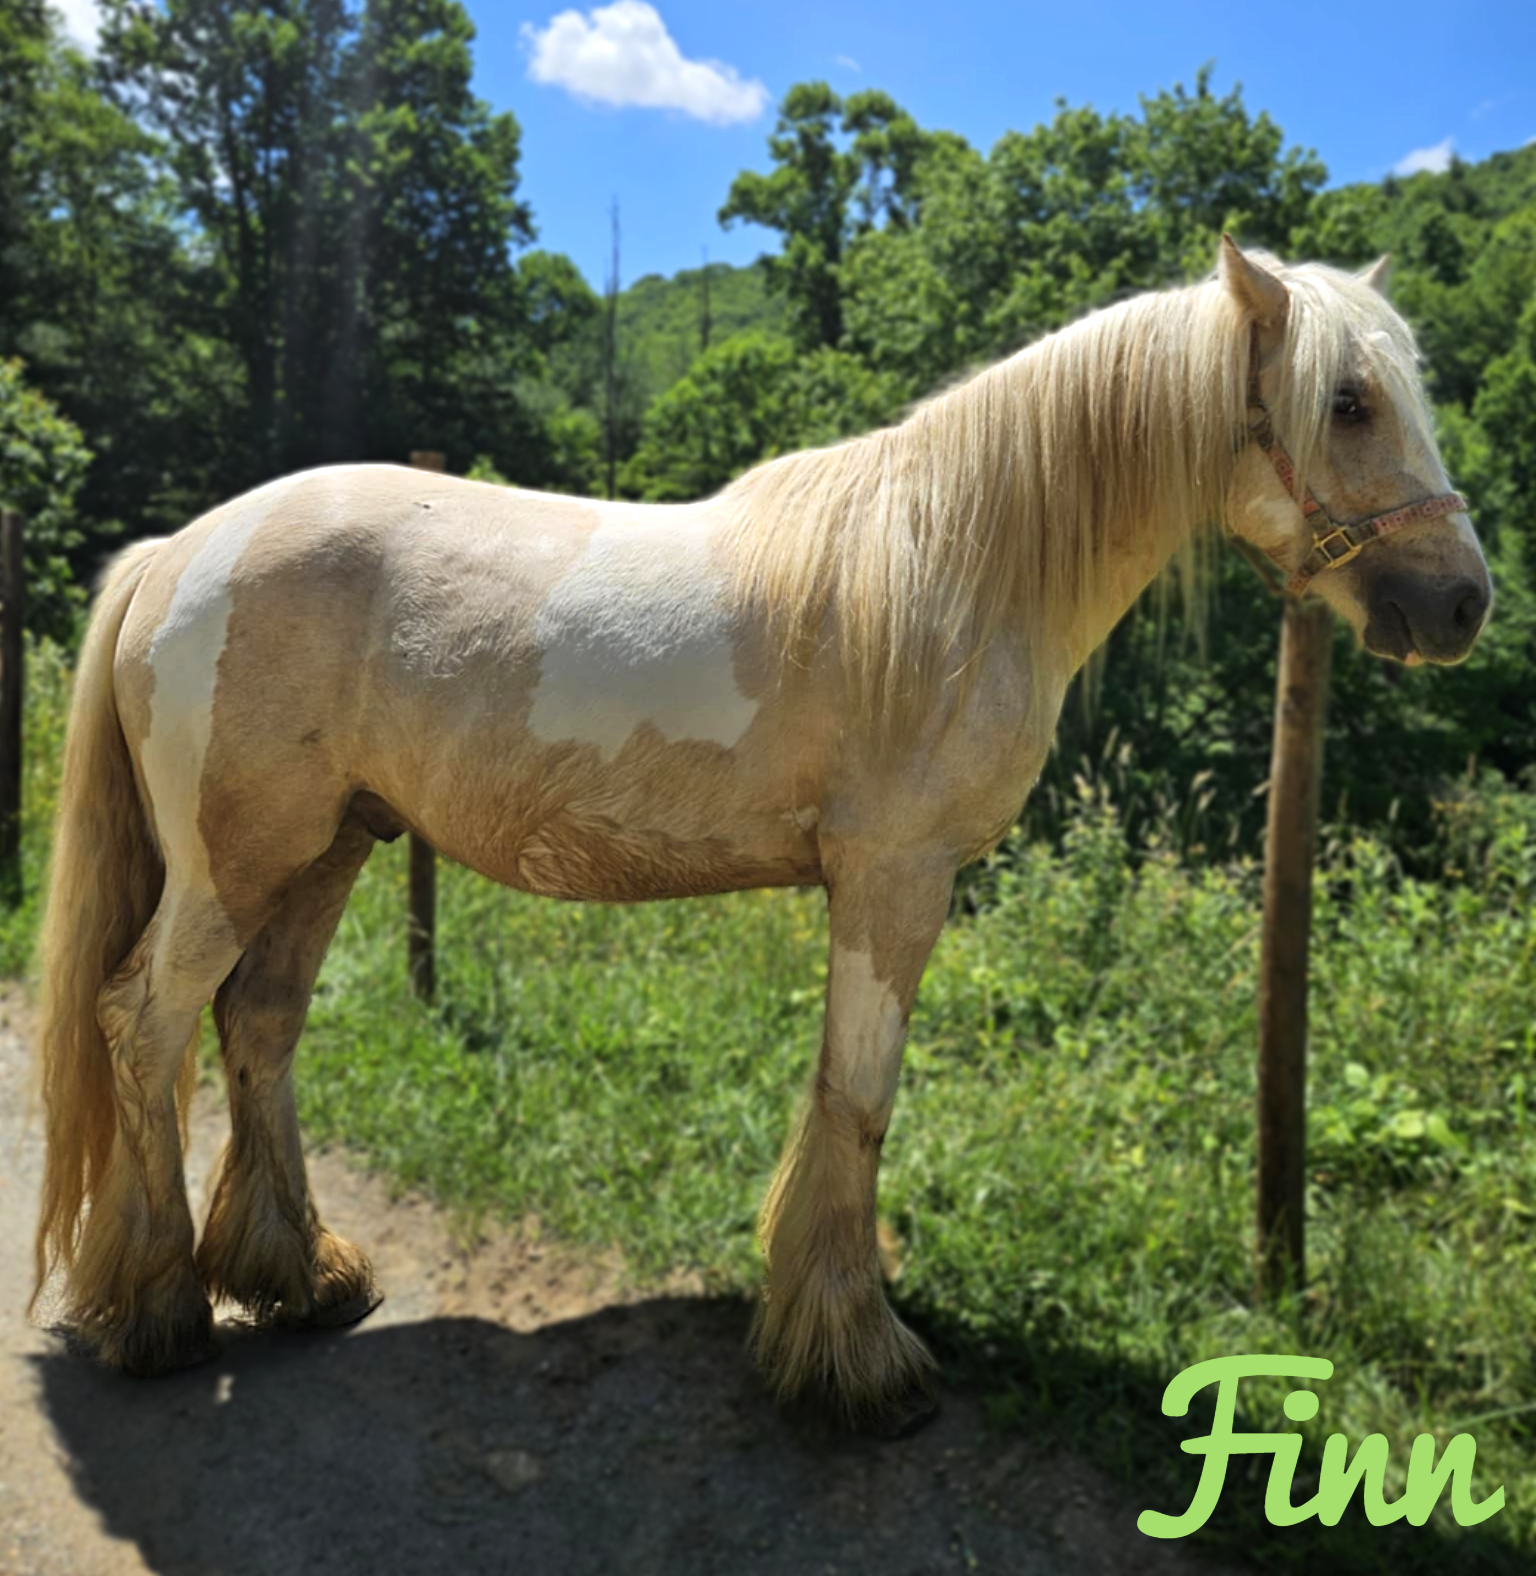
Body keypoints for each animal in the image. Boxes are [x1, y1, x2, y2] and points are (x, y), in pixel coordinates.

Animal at [32, 238, 1489, 1426]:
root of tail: (179, 553)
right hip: (234, 868)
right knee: (143, 1024)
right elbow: (859, 1100)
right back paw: (159, 1312)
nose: (1465, 603)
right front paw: (854, 1358)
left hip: (325, 852)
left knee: (258, 1029)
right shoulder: (896, 880)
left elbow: (848, 1100)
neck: (957, 563)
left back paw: (297, 1276)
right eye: (1348, 402)